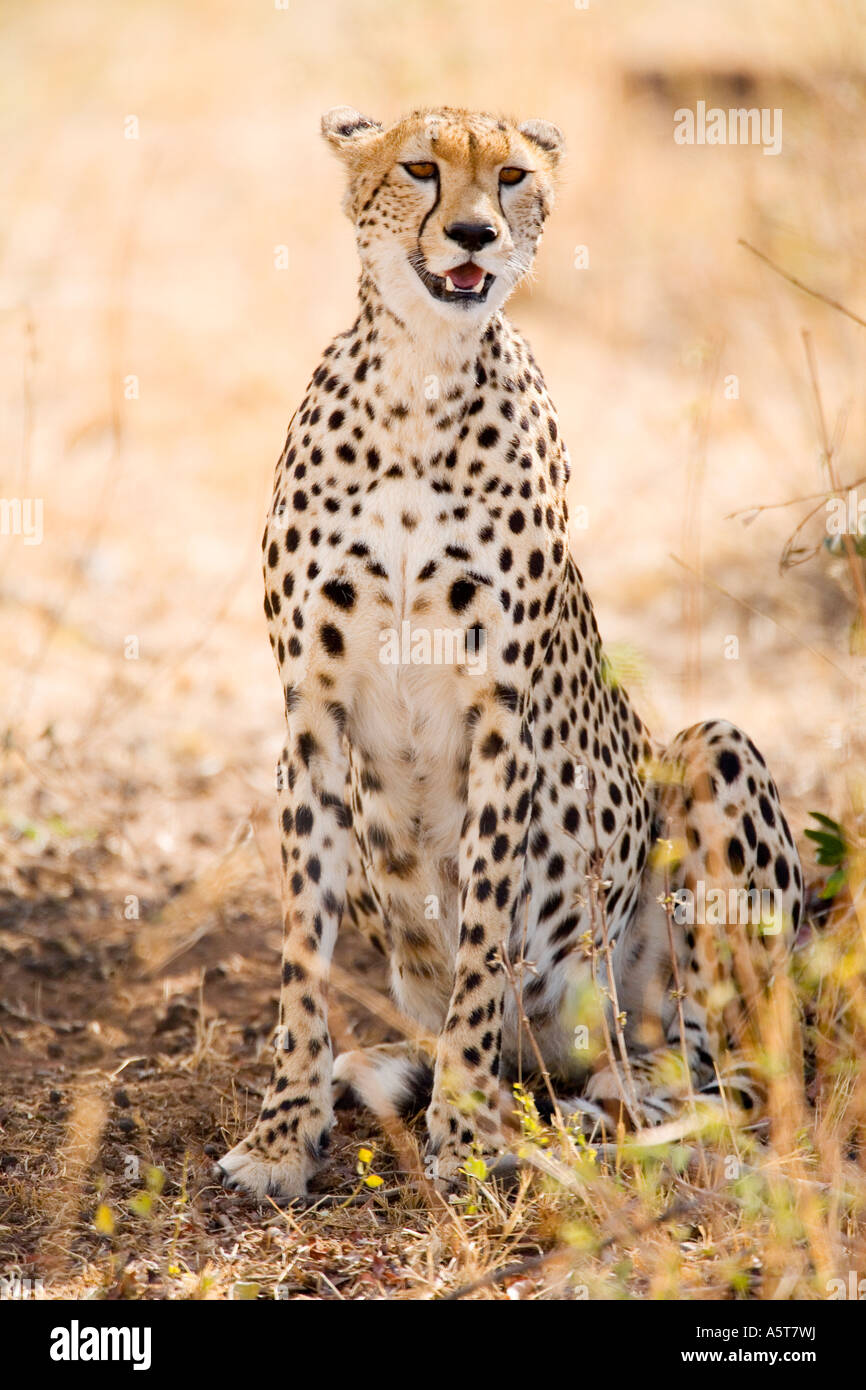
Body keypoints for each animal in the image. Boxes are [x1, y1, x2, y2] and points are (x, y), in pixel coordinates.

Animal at [217, 105, 803, 1201]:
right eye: (418, 168)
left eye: (513, 176)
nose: (473, 235)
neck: (420, 383)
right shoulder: (311, 712)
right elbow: (302, 956)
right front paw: (282, 1134)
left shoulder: (501, 713)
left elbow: (487, 931)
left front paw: (464, 1131)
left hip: (710, 765)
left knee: (728, 1081)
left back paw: (623, 1114)